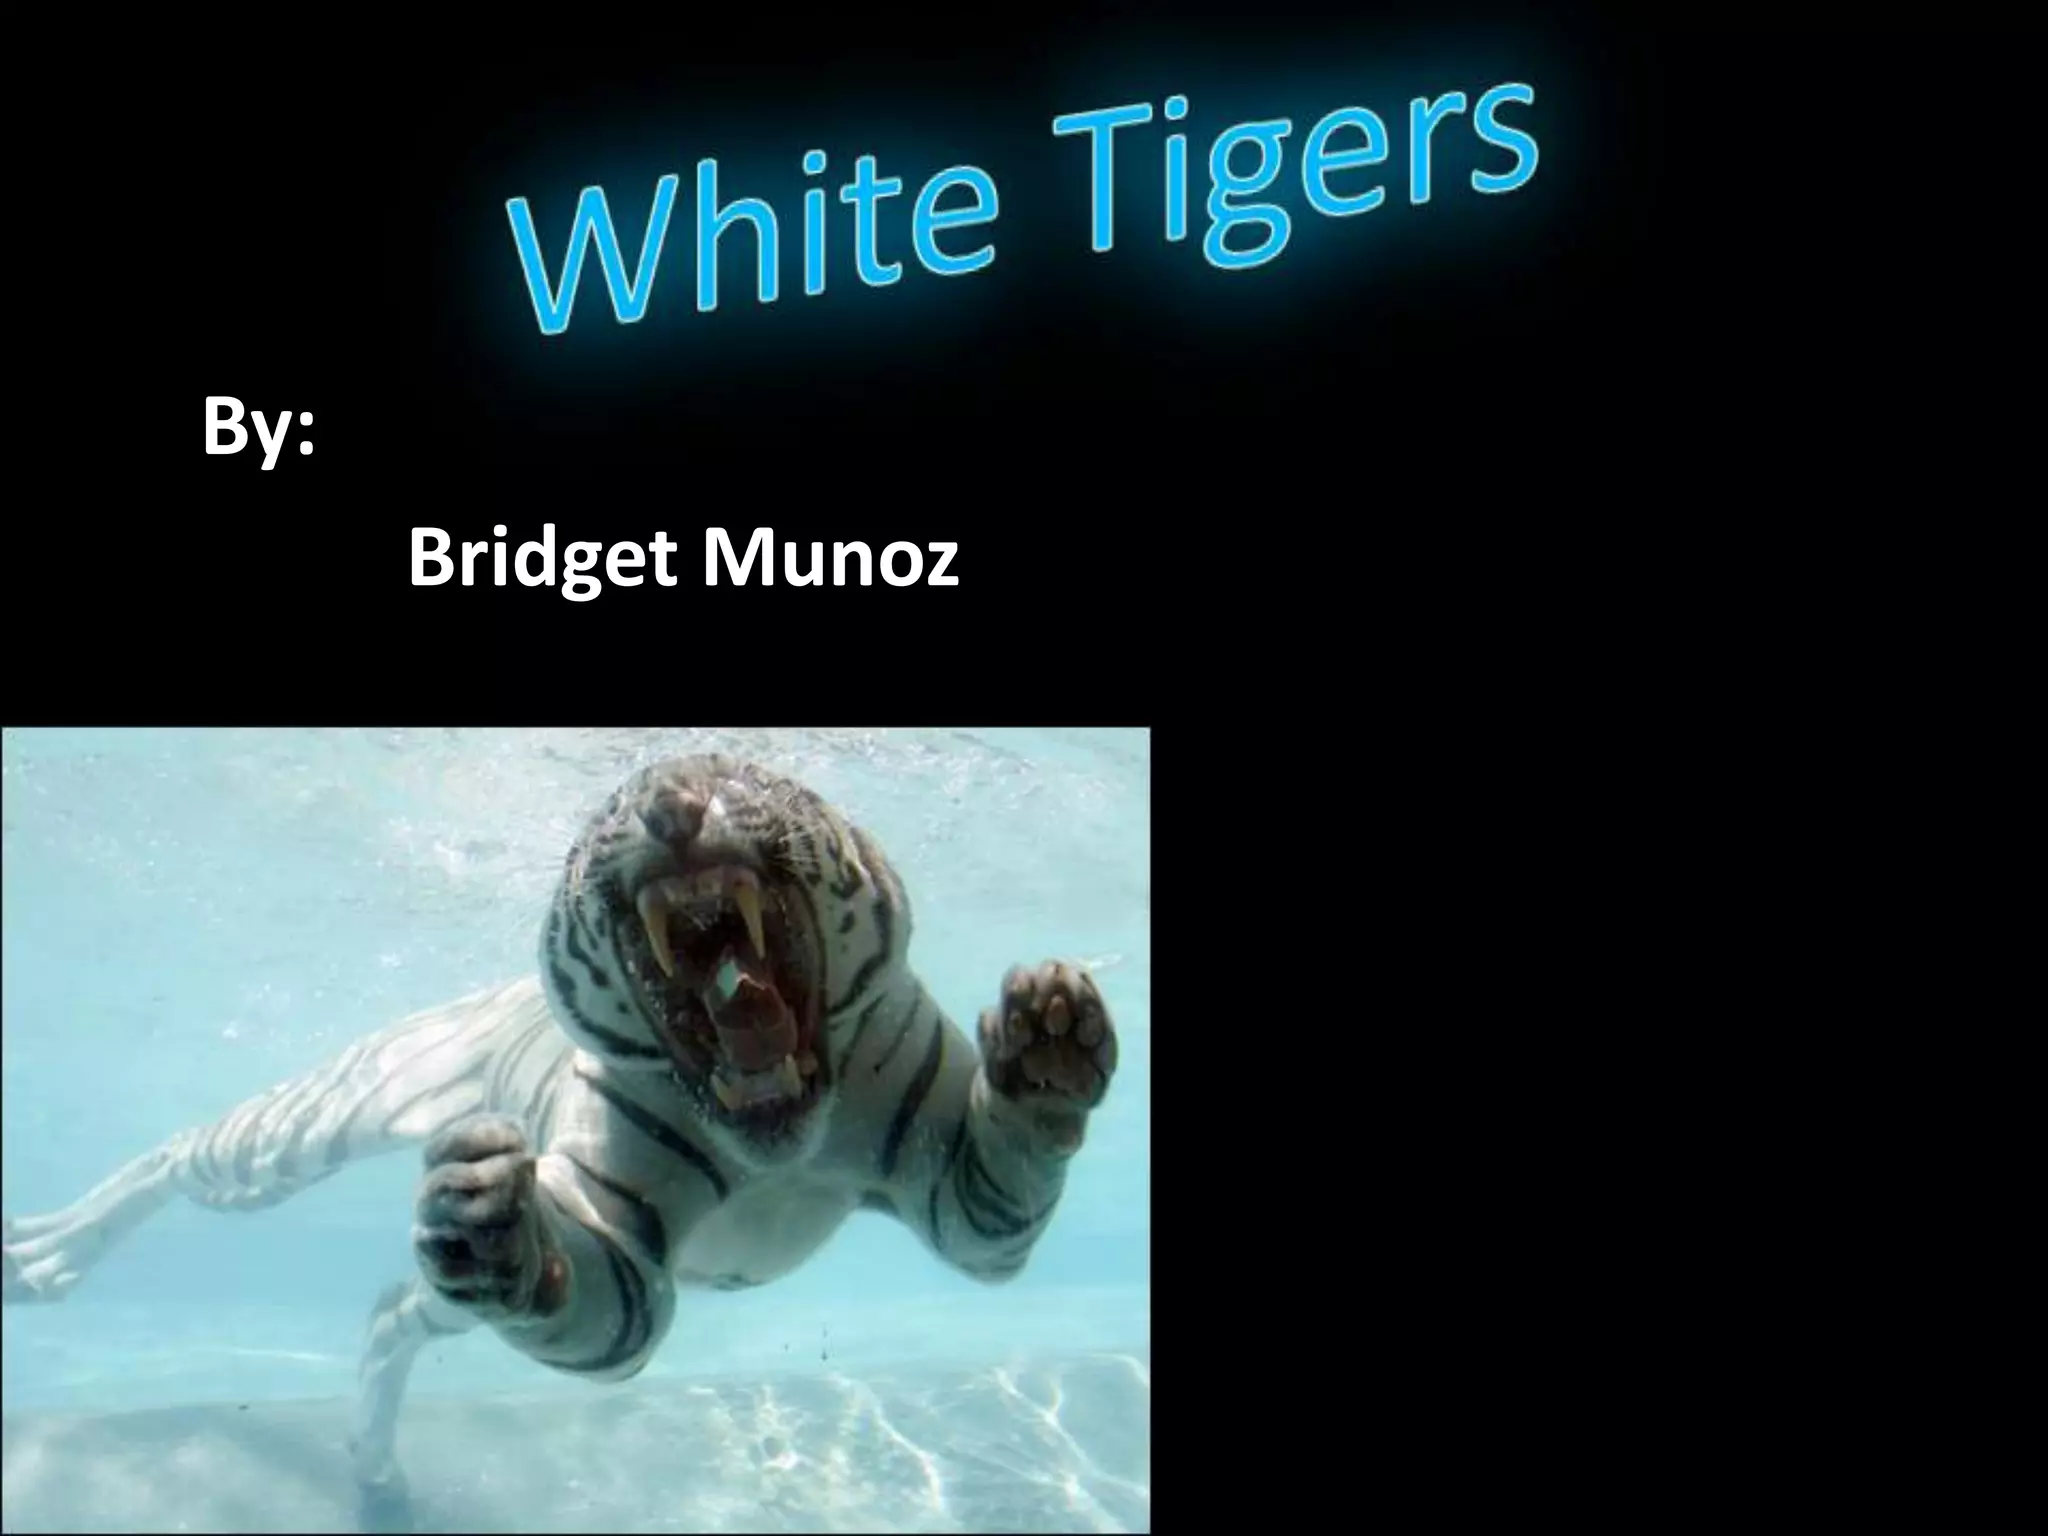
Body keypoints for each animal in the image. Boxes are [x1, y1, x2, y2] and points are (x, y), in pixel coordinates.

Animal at [0, 753, 1118, 1527]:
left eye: (747, 777)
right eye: (608, 814)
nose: (672, 801)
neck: (776, 1138)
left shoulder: (959, 1193)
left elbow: (1004, 1190)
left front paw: (1049, 1035)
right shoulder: (613, 1220)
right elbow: (596, 1293)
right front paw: (501, 1229)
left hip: (417, 1282)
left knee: (395, 1306)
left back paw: (376, 1472)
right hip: (306, 1128)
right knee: (178, 1158)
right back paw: (42, 1256)